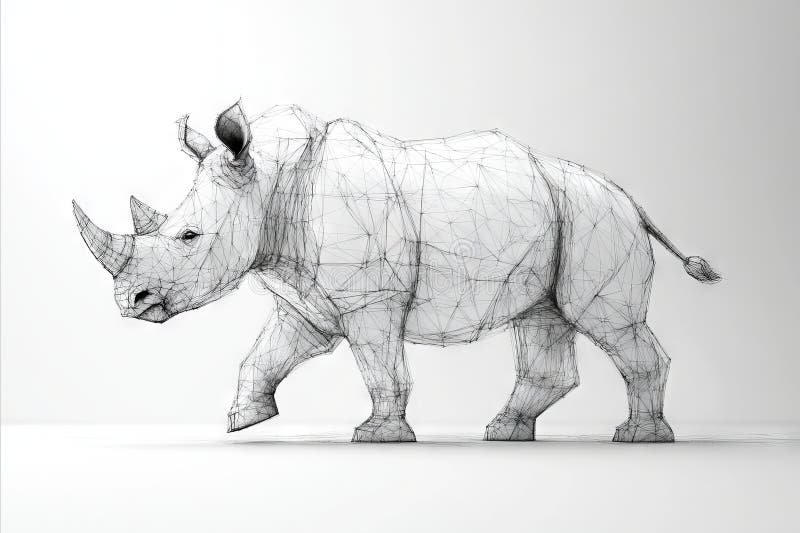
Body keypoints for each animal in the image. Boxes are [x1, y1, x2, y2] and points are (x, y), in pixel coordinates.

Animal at [73, 101, 719, 442]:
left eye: (188, 237)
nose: (131, 302)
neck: (269, 182)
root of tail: (629, 197)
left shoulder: (371, 296)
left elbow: (381, 367)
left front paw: (377, 435)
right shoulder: (305, 298)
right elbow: (265, 353)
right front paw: (244, 421)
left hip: (594, 218)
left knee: (604, 321)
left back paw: (639, 438)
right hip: (566, 215)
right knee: (543, 318)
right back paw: (504, 432)